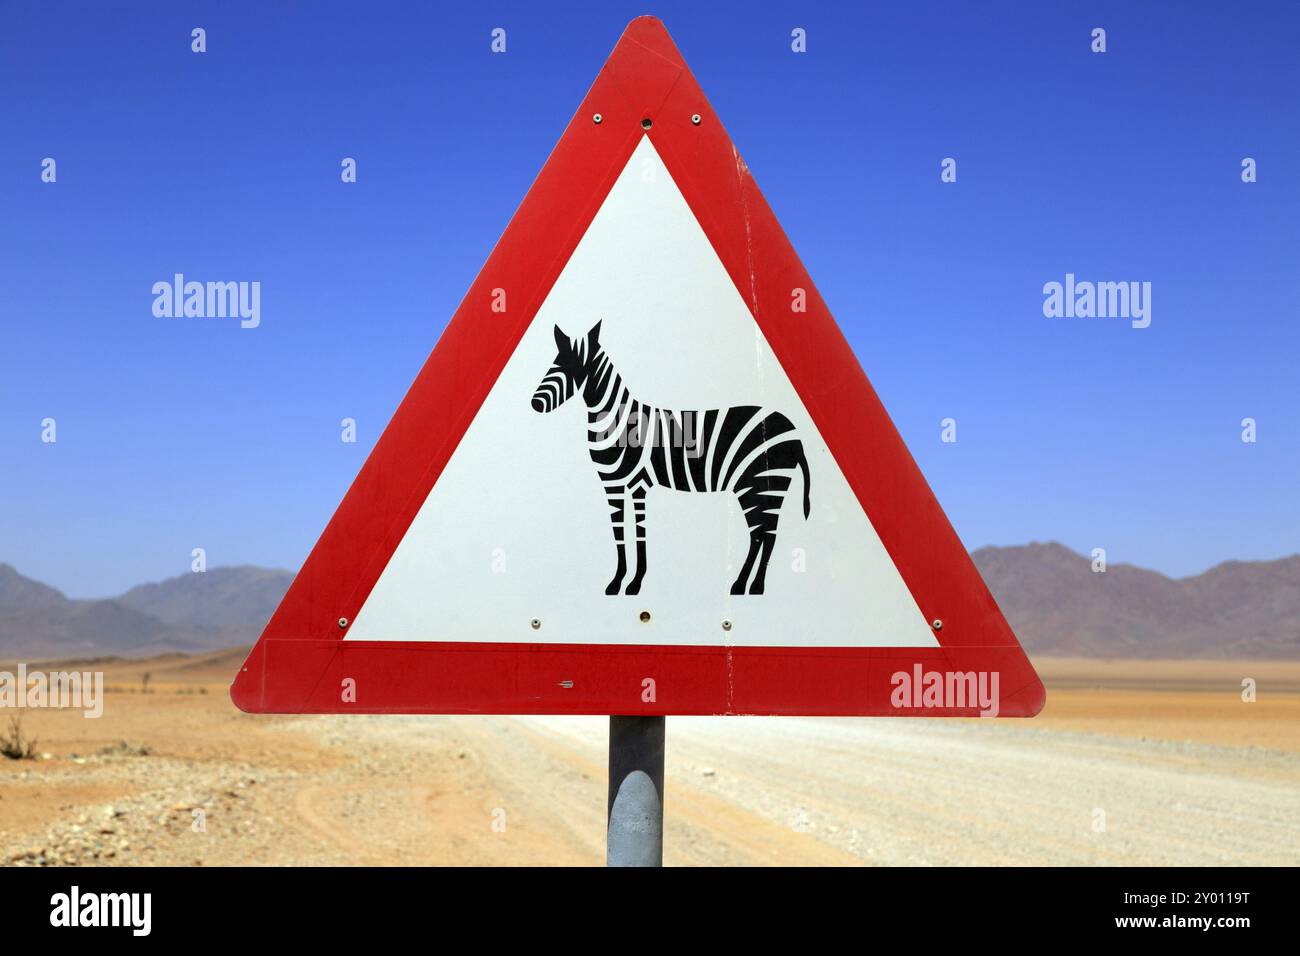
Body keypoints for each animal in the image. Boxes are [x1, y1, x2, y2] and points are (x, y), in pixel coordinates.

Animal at [530, 321, 811, 596]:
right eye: (554, 363)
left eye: (566, 368)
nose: (534, 405)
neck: (616, 422)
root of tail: (794, 431)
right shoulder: (612, 485)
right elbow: (619, 532)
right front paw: (617, 582)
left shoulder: (638, 484)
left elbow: (639, 532)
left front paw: (634, 583)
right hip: (762, 487)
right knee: (764, 533)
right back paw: (747, 585)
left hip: (760, 483)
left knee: (764, 533)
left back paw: (749, 586)